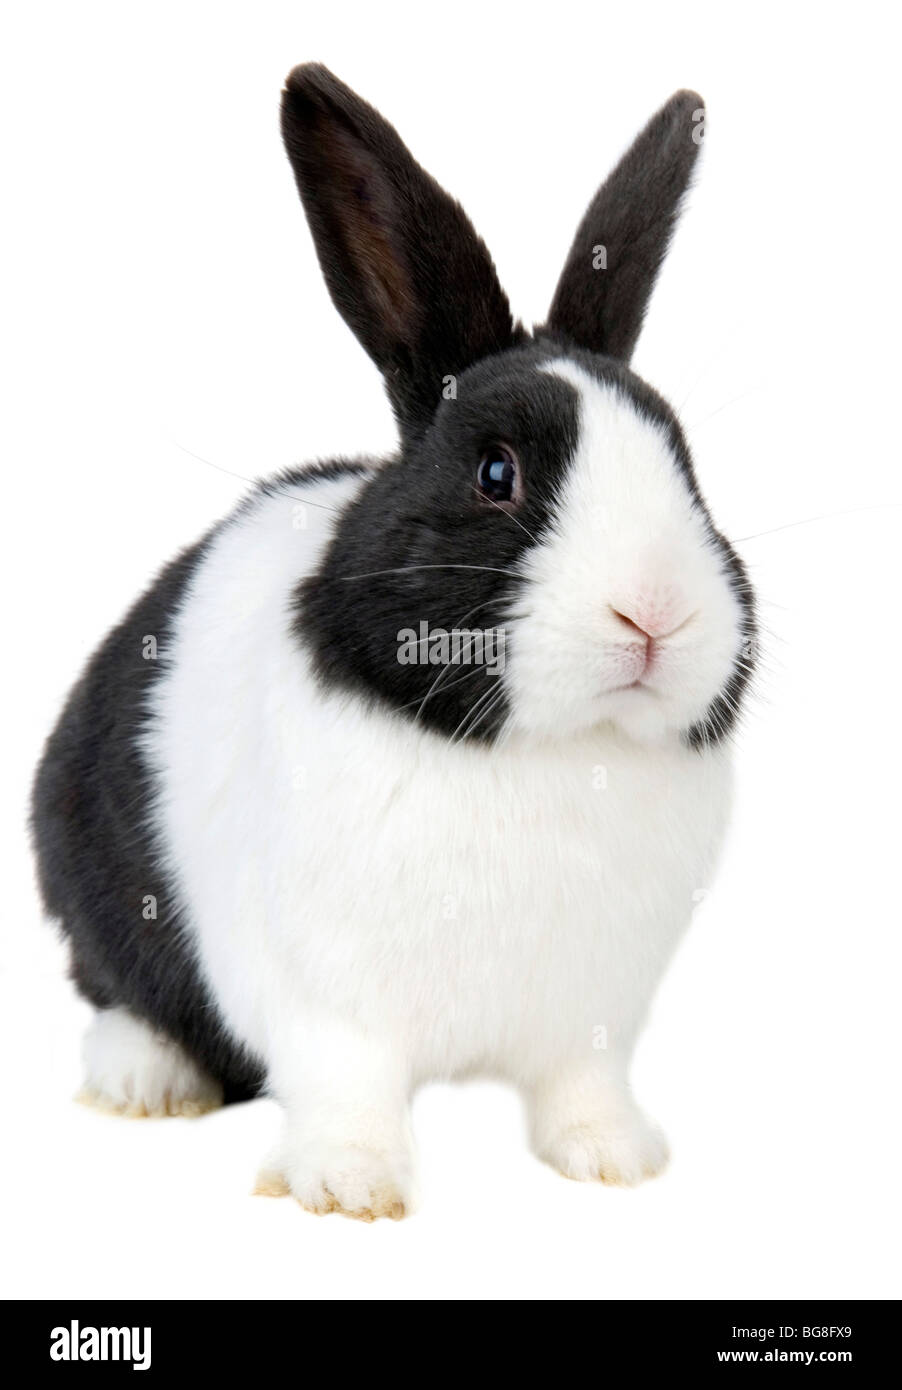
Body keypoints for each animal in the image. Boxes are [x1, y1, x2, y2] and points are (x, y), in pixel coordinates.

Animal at [32, 64, 756, 1220]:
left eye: (685, 465)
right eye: (496, 473)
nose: (655, 612)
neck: (554, 752)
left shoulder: (593, 1014)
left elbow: (583, 1085)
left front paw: (614, 1160)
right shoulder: (324, 999)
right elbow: (345, 1085)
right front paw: (348, 1187)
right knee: (117, 993)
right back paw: (146, 1083)